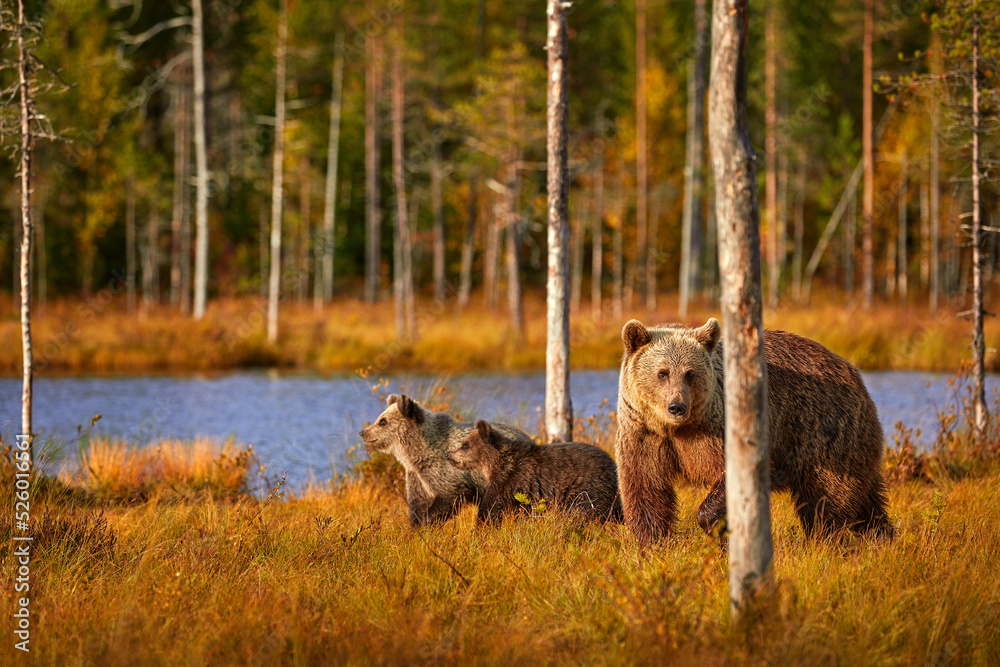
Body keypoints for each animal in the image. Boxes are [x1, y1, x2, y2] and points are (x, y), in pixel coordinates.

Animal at [359, 394, 533, 526]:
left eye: (383, 421)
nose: (363, 432)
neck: (418, 452)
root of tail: (530, 438)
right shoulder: (417, 477)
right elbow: (417, 505)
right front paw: (415, 529)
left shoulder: (446, 473)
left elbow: (449, 496)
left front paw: (427, 522)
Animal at [444, 419, 624, 525]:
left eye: (465, 444)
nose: (448, 454)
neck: (495, 465)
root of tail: (613, 465)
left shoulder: (510, 480)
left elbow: (491, 507)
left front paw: (481, 525)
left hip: (588, 490)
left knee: (588, 512)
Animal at [615, 317, 893, 544]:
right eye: (662, 373)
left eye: (689, 373)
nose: (676, 406)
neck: (679, 428)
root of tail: (853, 371)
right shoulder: (644, 434)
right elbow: (645, 484)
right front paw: (651, 541)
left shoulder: (719, 429)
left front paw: (715, 526)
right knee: (867, 502)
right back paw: (881, 536)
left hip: (824, 433)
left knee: (825, 499)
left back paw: (824, 541)